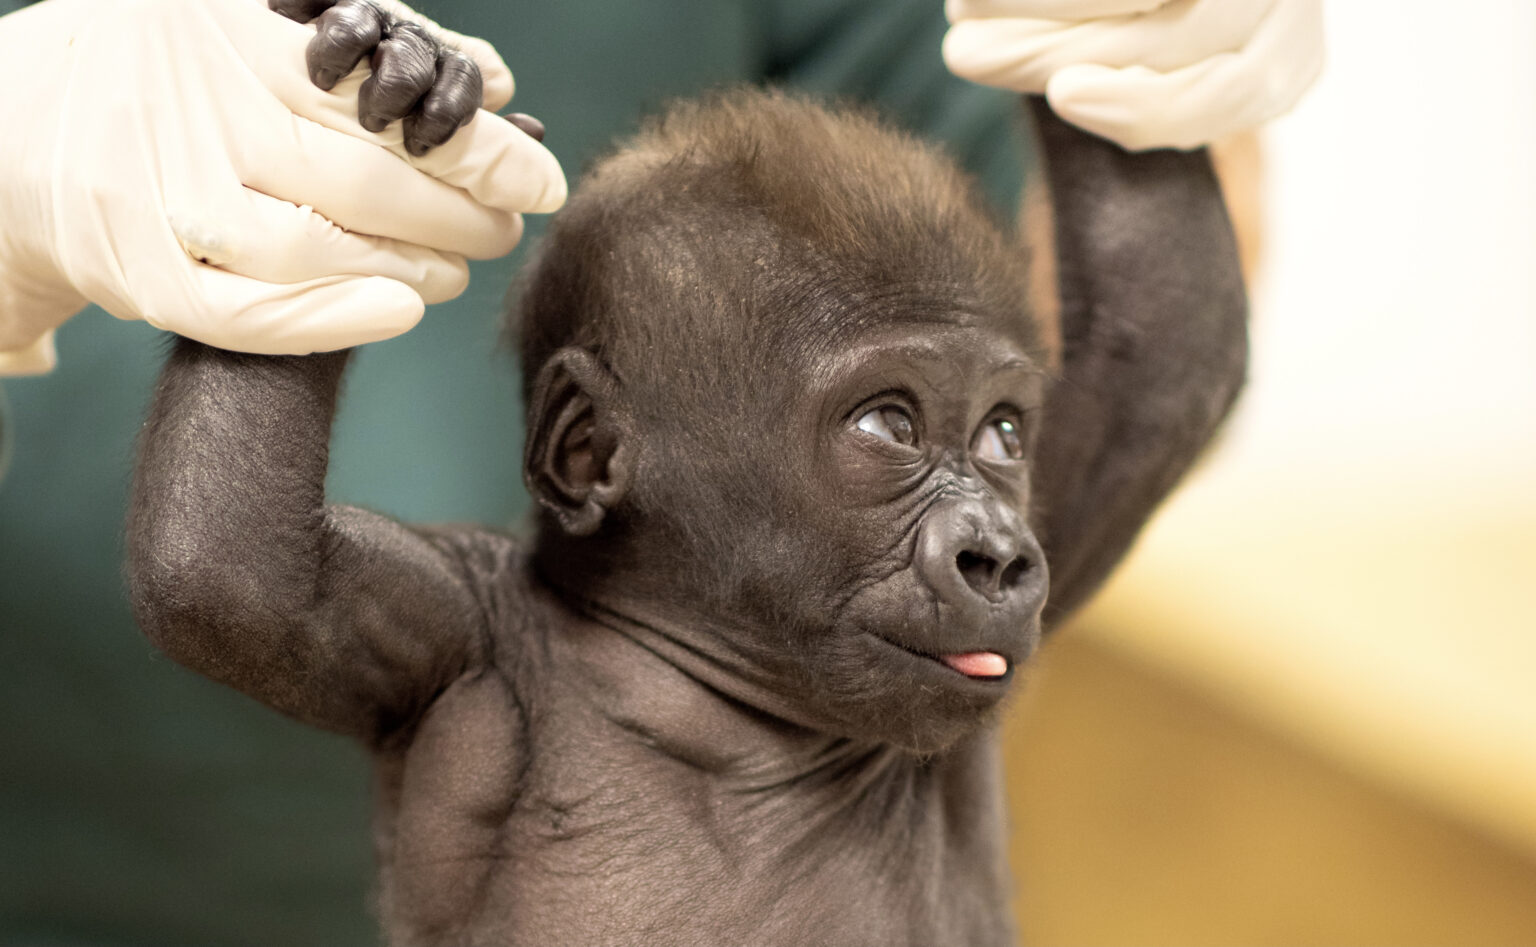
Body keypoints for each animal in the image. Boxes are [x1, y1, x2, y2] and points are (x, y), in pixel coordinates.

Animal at [127, 10, 1246, 945]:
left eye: (1006, 434)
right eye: (889, 423)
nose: (1002, 555)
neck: (710, 684)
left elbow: (1166, 361)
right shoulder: (447, 622)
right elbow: (232, 576)